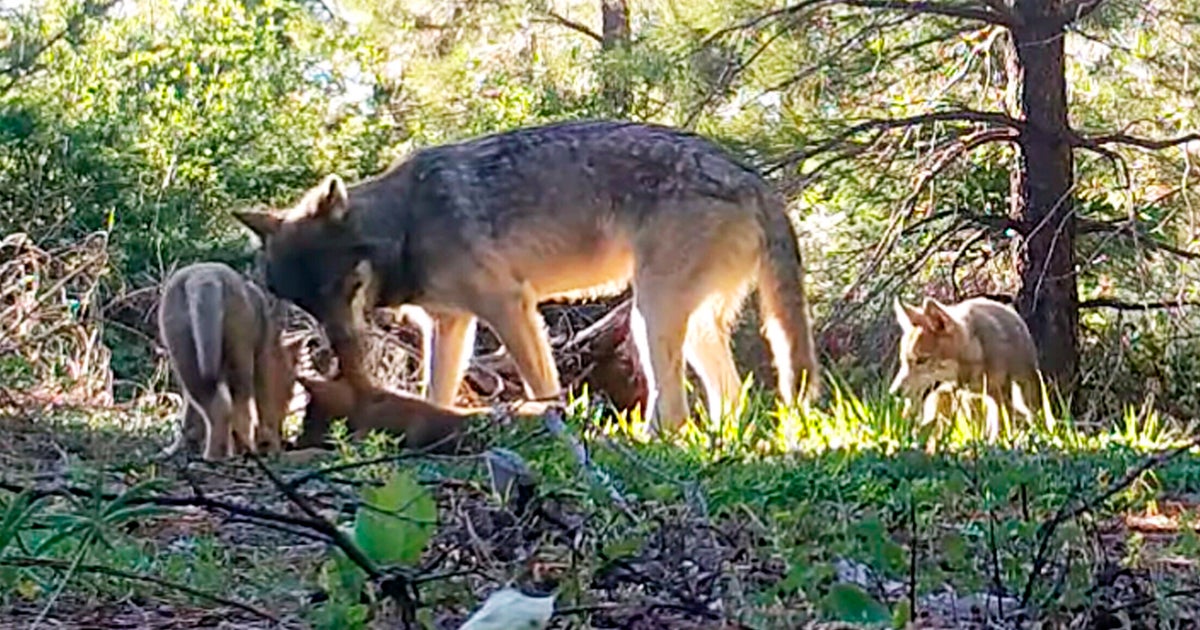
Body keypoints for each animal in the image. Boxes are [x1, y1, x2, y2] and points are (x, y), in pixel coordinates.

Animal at [157, 262, 298, 460]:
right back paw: (236, 451)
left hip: (184, 351)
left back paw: (209, 454)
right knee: (239, 408)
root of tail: (204, 278)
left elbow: (189, 413)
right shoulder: (263, 363)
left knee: (215, 406)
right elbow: (265, 408)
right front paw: (271, 446)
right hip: (238, 353)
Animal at [233, 120, 820, 434]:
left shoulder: (509, 306)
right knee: (733, 397)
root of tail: (753, 177)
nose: (340, 350)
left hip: (648, 318)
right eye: (305, 304)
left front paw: (548, 421)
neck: (406, 224)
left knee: (675, 410)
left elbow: (542, 382)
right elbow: (436, 391)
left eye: (340, 288)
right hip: (683, 326)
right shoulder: (449, 325)